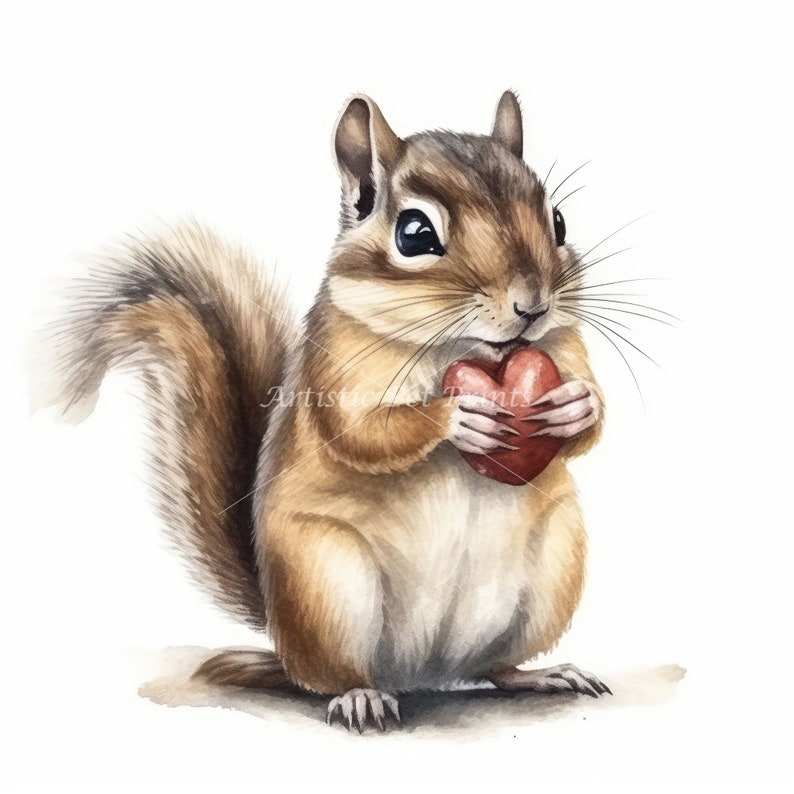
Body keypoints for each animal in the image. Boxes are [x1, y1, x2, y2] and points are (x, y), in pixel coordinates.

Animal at [41, 90, 611, 732]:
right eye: (415, 233)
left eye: (558, 221)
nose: (532, 306)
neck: (464, 350)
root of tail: (425, 671)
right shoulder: (333, 369)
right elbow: (361, 434)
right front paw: (459, 414)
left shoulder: (564, 344)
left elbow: (593, 420)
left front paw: (575, 406)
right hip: (328, 586)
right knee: (327, 677)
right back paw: (360, 696)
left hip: (551, 572)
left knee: (495, 667)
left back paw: (544, 674)